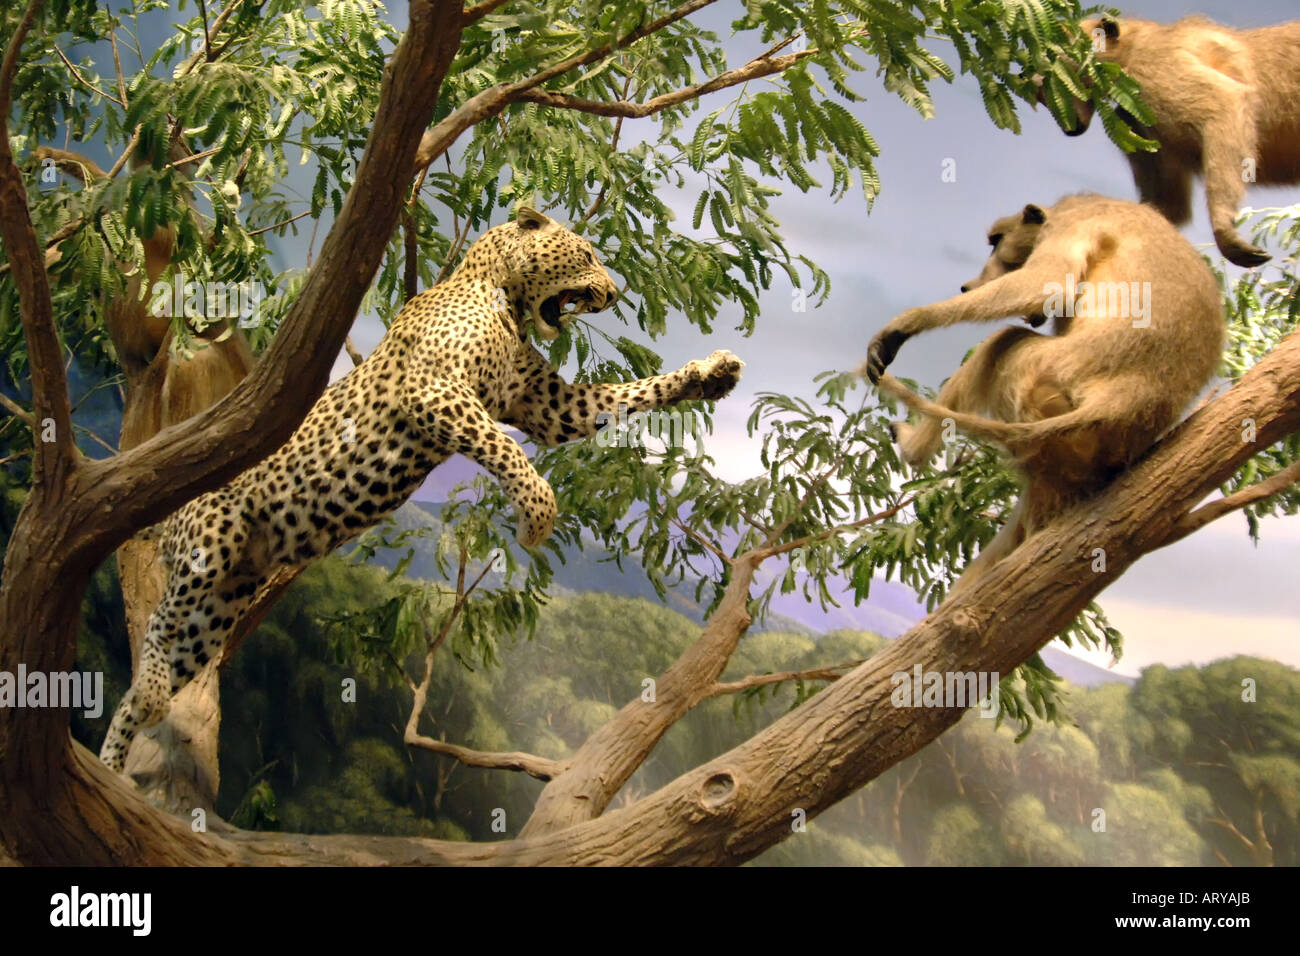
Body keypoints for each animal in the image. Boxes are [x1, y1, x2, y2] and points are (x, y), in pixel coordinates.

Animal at [99, 206, 744, 773]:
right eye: (586, 255)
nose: (612, 293)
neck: (502, 299)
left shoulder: (549, 406)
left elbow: (629, 394)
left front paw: (711, 373)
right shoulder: (436, 389)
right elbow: (504, 447)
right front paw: (537, 513)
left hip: (224, 600)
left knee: (147, 679)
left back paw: (115, 760)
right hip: (212, 546)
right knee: (158, 623)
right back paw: (147, 694)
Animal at [863, 194, 1225, 596]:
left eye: (996, 242)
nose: (970, 285)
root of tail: (1121, 401)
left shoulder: (1071, 223)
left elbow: (1042, 286)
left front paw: (906, 324)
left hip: (1046, 379)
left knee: (1003, 343)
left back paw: (913, 448)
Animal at [1057, 15, 1300, 268]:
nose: (1070, 126)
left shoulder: (1154, 71)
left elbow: (1223, 104)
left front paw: (1224, 227)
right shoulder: (1134, 119)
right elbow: (1169, 210)